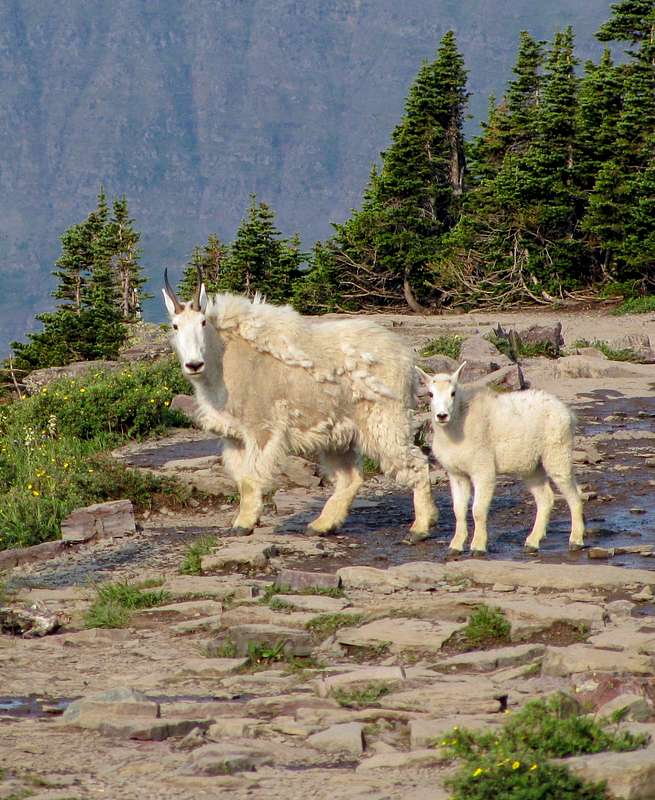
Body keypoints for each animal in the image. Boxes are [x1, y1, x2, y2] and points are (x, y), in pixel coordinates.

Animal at [163, 270, 437, 539]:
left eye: (203, 322)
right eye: (175, 326)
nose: (194, 364)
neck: (222, 363)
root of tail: (406, 358)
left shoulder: (262, 428)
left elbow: (251, 478)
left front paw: (243, 525)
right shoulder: (234, 437)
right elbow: (241, 480)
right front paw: (247, 519)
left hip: (386, 419)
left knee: (416, 463)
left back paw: (421, 527)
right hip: (339, 432)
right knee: (351, 477)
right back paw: (321, 525)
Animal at [417, 363, 585, 555]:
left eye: (453, 392)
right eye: (430, 394)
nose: (442, 416)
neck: (457, 427)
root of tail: (568, 413)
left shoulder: (483, 469)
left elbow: (478, 510)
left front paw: (478, 546)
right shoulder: (456, 474)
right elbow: (458, 510)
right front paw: (455, 546)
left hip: (558, 452)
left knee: (574, 494)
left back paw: (576, 540)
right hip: (532, 465)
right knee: (545, 498)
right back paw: (532, 541)